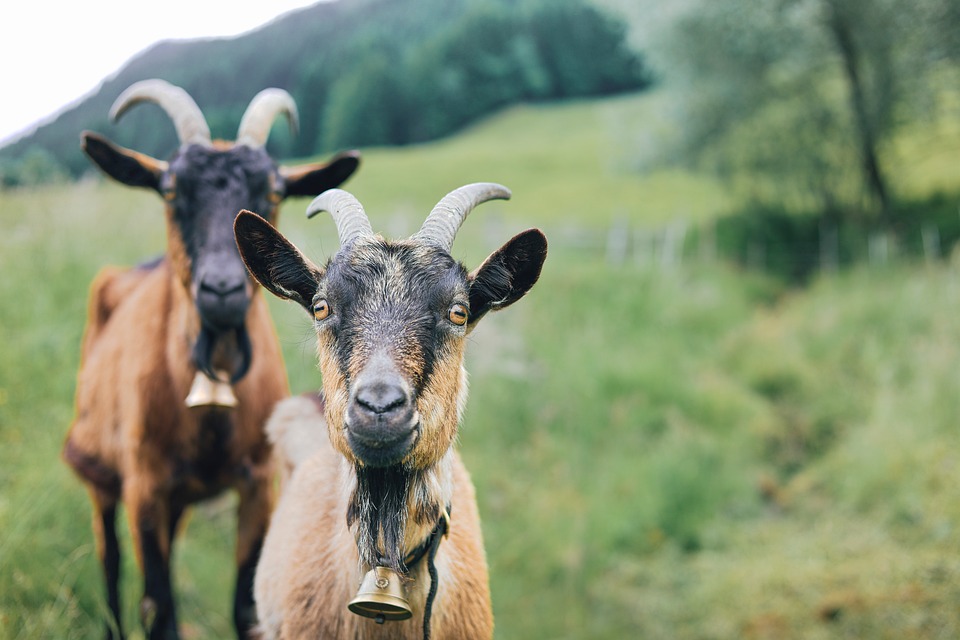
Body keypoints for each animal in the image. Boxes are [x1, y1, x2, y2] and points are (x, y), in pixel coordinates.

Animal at [62, 79, 360, 640]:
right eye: (171, 191)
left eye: (273, 193)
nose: (222, 290)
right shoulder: (144, 486)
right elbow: (159, 608)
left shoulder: (257, 483)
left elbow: (245, 608)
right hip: (101, 472)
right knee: (109, 561)